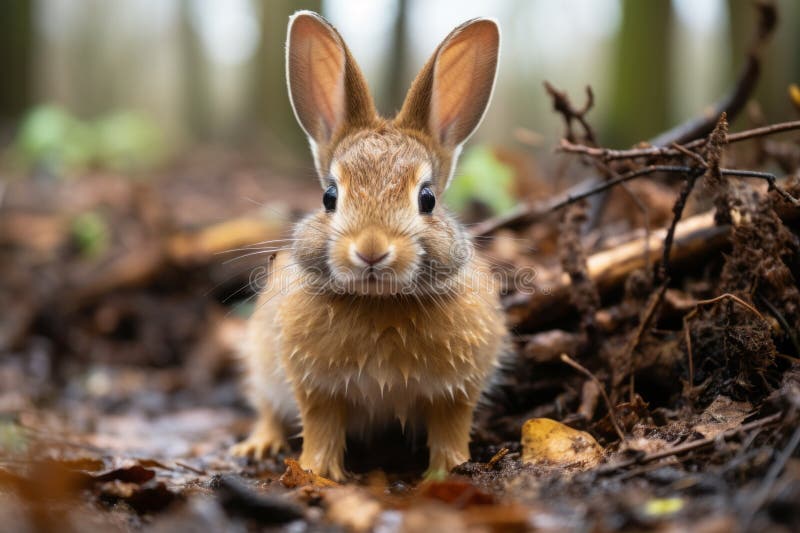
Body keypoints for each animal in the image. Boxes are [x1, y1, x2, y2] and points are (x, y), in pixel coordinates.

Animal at [230, 10, 506, 480]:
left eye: (427, 199)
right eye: (329, 196)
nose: (372, 250)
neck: (381, 302)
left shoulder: (456, 391)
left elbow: (451, 429)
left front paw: (449, 471)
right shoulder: (316, 388)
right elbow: (320, 427)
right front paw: (319, 473)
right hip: (263, 363)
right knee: (266, 408)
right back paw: (258, 445)